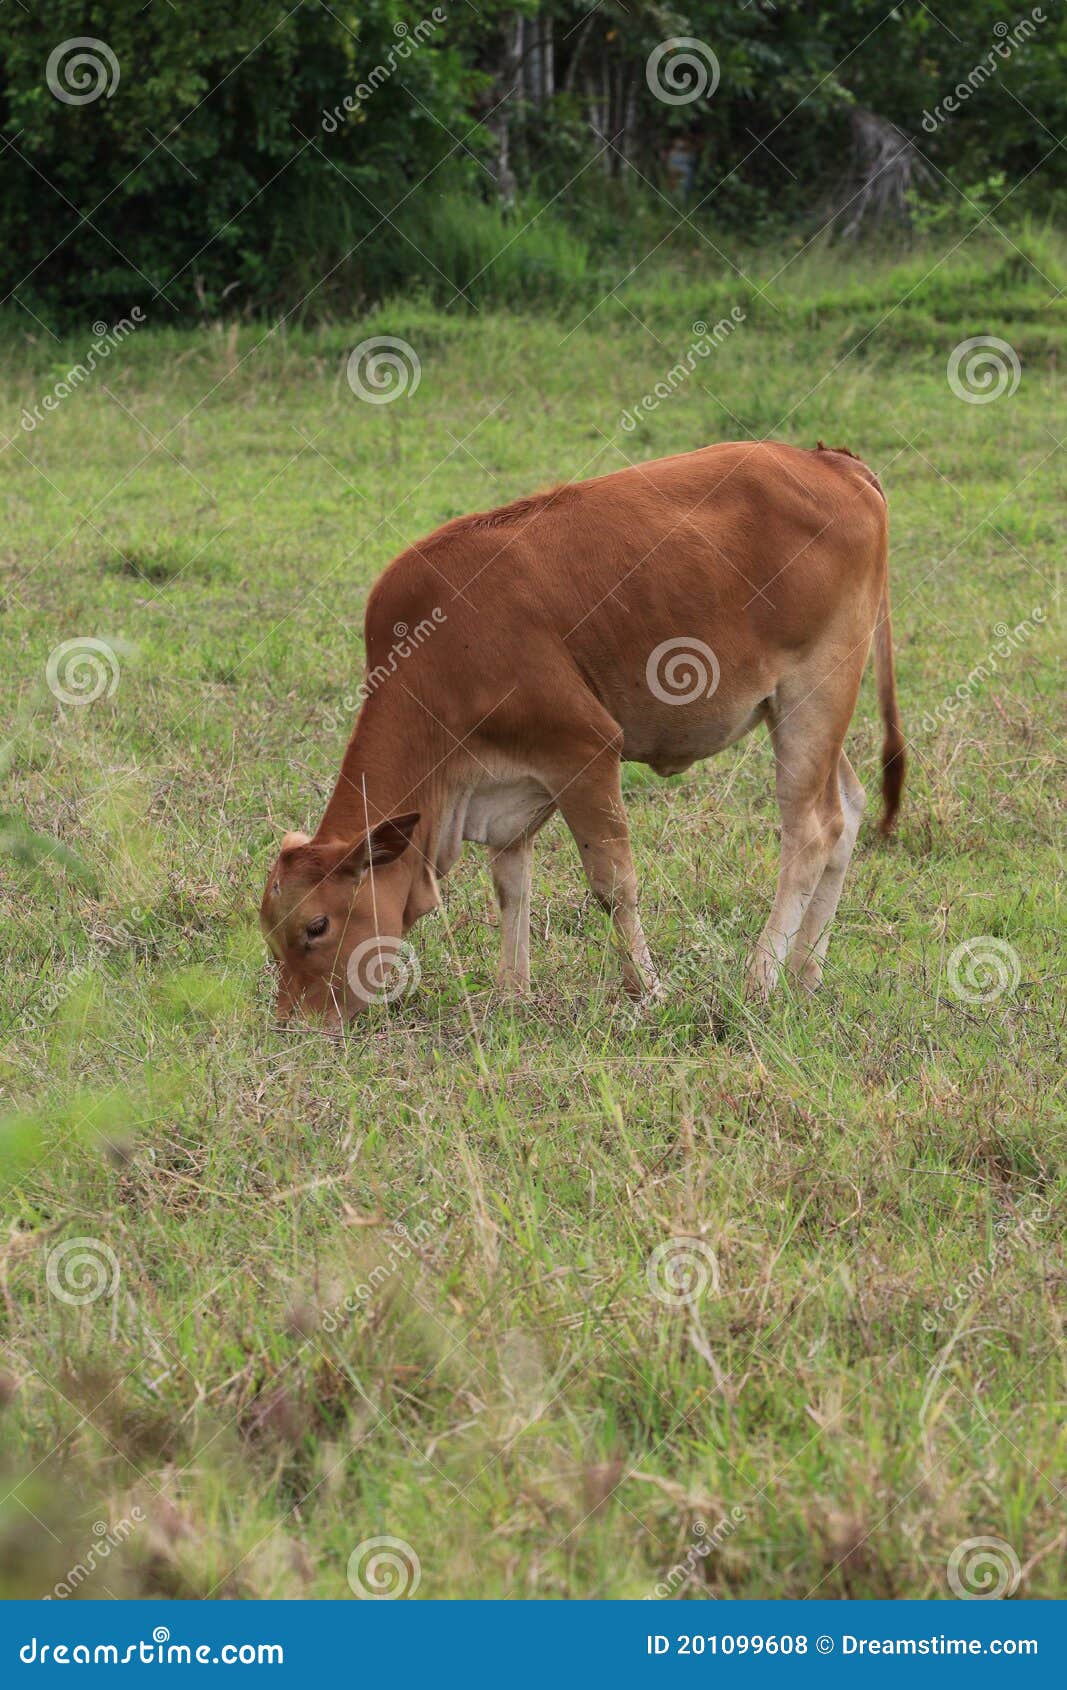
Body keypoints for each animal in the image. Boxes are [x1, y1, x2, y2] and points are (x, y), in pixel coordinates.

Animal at [260, 439, 903, 1031]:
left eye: (317, 925)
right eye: (270, 931)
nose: (297, 1023)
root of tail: (827, 459)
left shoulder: (585, 750)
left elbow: (612, 884)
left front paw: (648, 991)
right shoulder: (512, 782)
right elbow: (510, 884)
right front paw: (511, 993)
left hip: (815, 691)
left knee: (812, 829)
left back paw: (762, 977)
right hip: (803, 709)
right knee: (848, 809)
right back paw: (805, 972)